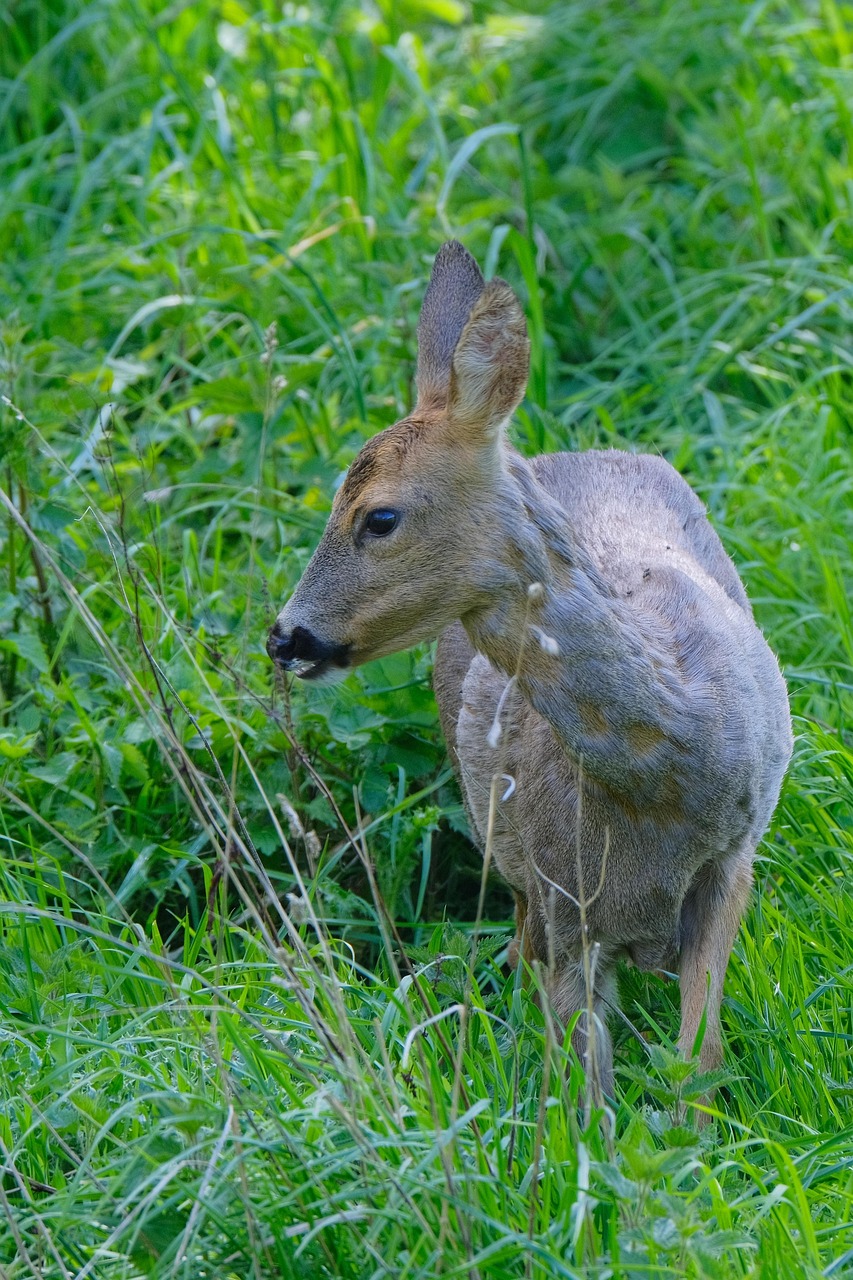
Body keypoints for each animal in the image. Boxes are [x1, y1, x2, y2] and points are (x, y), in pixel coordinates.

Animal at [267, 240, 793, 1100]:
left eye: (379, 516)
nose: (287, 637)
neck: (663, 779)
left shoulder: (732, 857)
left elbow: (697, 1061)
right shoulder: (558, 898)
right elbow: (582, 1084)